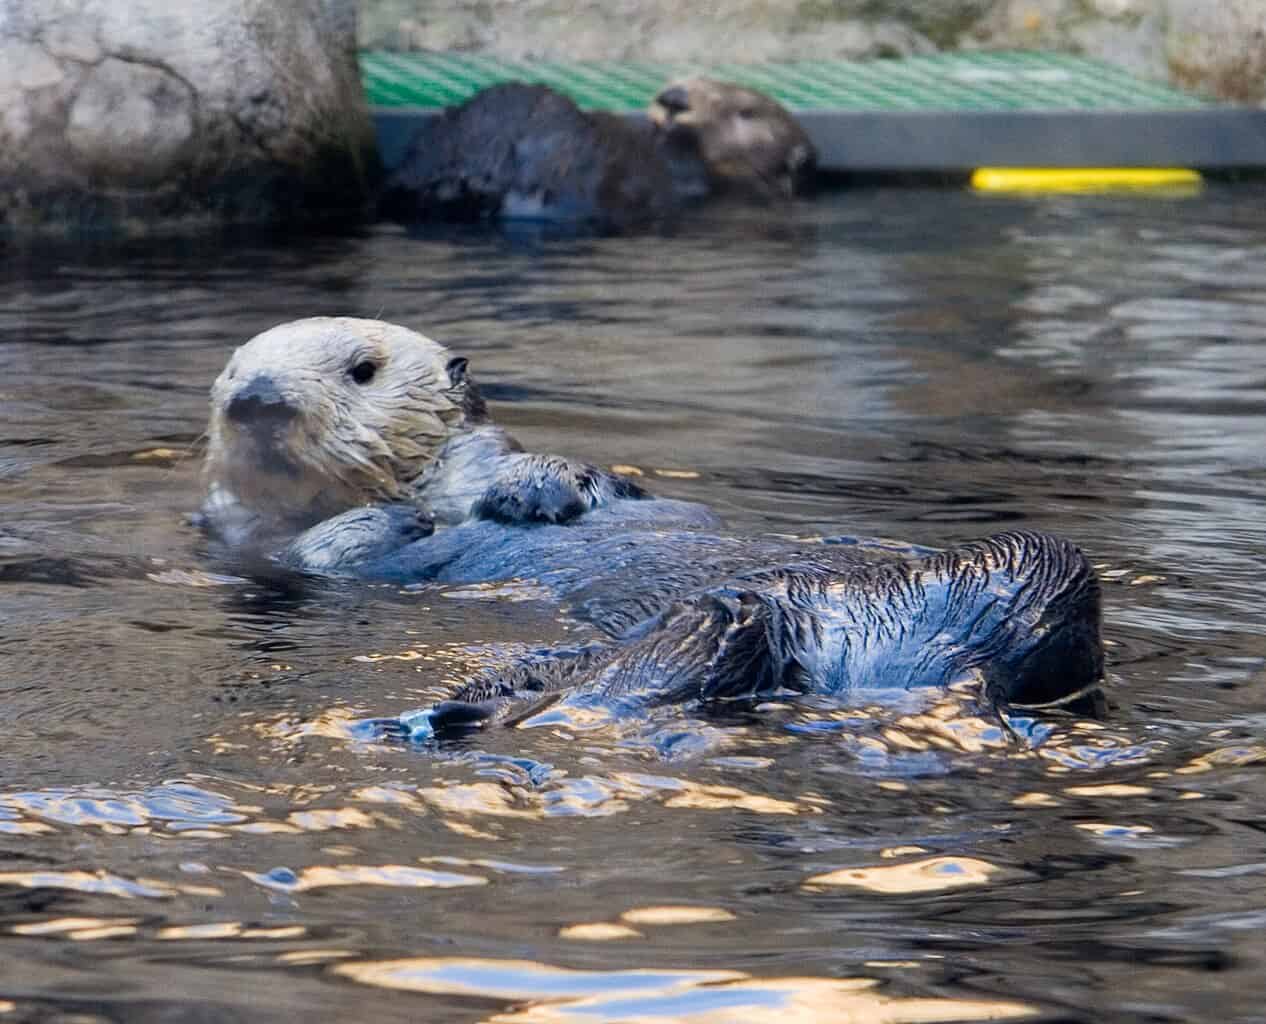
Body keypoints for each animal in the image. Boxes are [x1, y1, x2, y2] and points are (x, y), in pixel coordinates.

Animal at [198, 317, 1105, 732]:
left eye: (363, 369)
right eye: (232, 374)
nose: (258, 399)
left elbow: (604, 480)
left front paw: (537, 492)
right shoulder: (260, 552)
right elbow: (325, 548)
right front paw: (398, 519)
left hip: (1029, 564)